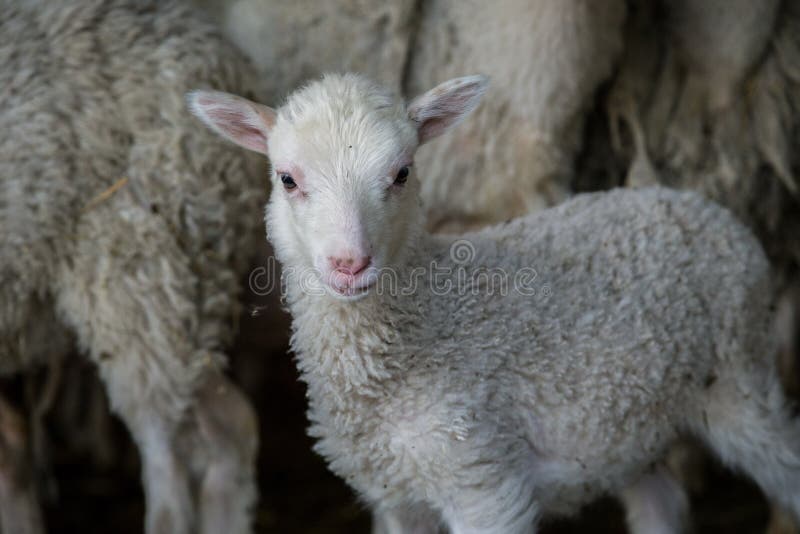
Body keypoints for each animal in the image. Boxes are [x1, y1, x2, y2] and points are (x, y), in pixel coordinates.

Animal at [190, 72, 800, 533]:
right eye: (287, 179)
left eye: (402, 173)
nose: (349, 263)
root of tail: (698, 204)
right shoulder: (395, 493)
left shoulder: (481, 478)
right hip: (628, 424)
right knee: (661, 501)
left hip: (740, 375)